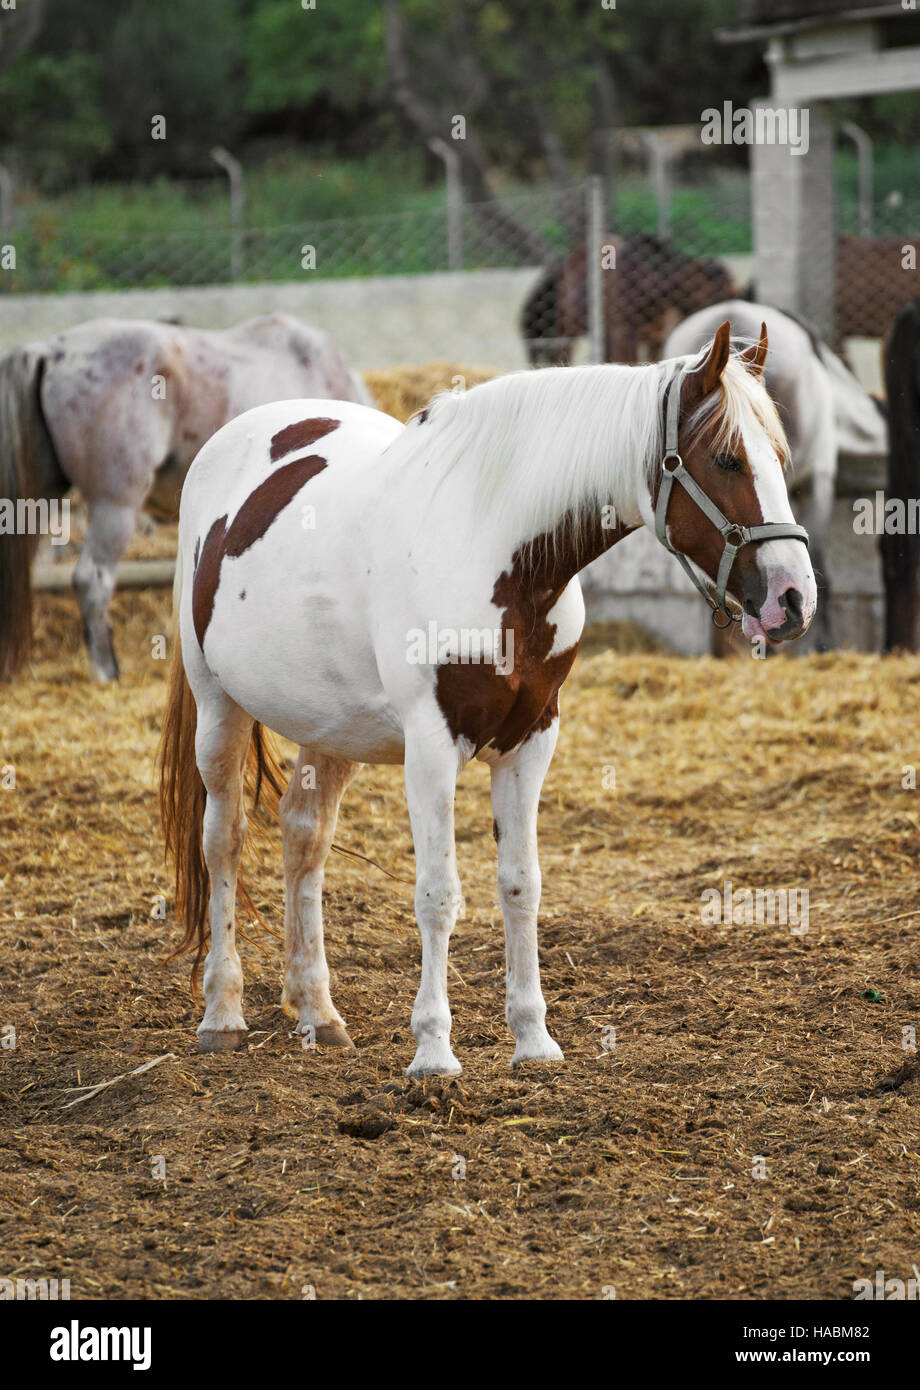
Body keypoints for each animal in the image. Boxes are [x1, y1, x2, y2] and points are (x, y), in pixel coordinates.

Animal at [159, 321, 815, 1076]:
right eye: (727, 458)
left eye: (780, 456)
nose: (793, 599)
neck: (496, 549)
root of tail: (229, 442)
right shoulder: (431, 748)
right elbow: (438, 896)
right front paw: (433, 1052)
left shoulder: (532, 740)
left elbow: (520, 885)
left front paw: (533, 1039)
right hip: (218, 707)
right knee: (224, 840)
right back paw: (222, 1014)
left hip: (331, 729)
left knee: (304, 836)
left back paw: (317, 1012)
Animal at [526, 233, 736, 366]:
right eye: (715, 296)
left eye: (732, 296)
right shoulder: (624, 331)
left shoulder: (656, 336)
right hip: (568, 323)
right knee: (563, 350)